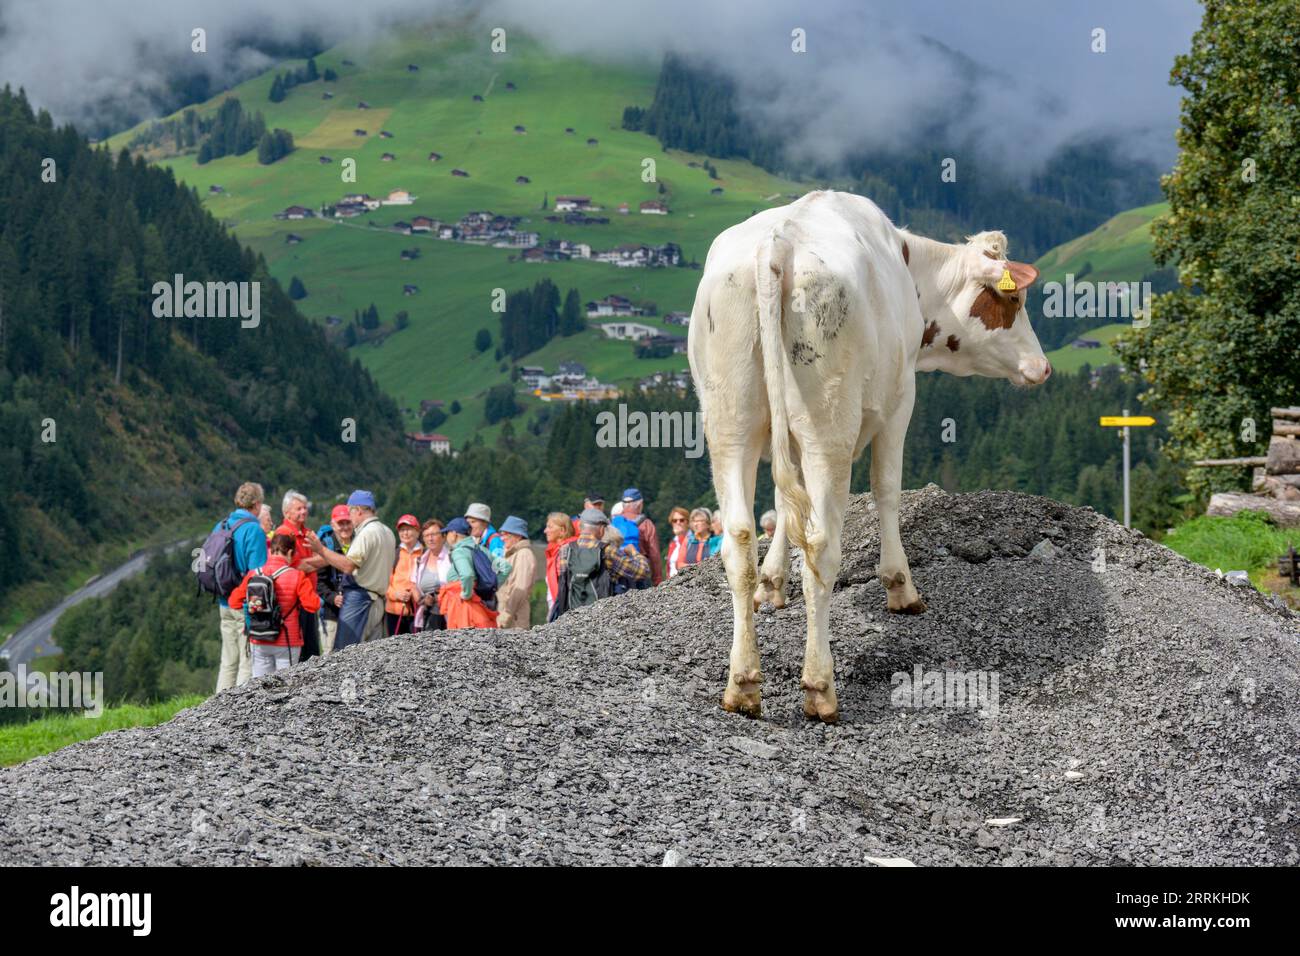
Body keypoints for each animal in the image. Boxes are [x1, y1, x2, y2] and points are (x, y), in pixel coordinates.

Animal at [687, 190, 1050, 723]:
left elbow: (783, 503)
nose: (1042, 366)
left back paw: (743, 683)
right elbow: (886, 487)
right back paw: (819, 687)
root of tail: (777, 243)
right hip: (828, 425)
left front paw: (772, 582)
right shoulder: (900, 400)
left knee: (738, 537)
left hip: (729, 422)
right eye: (1013, 300)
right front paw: (900, 585)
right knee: (820, 546)